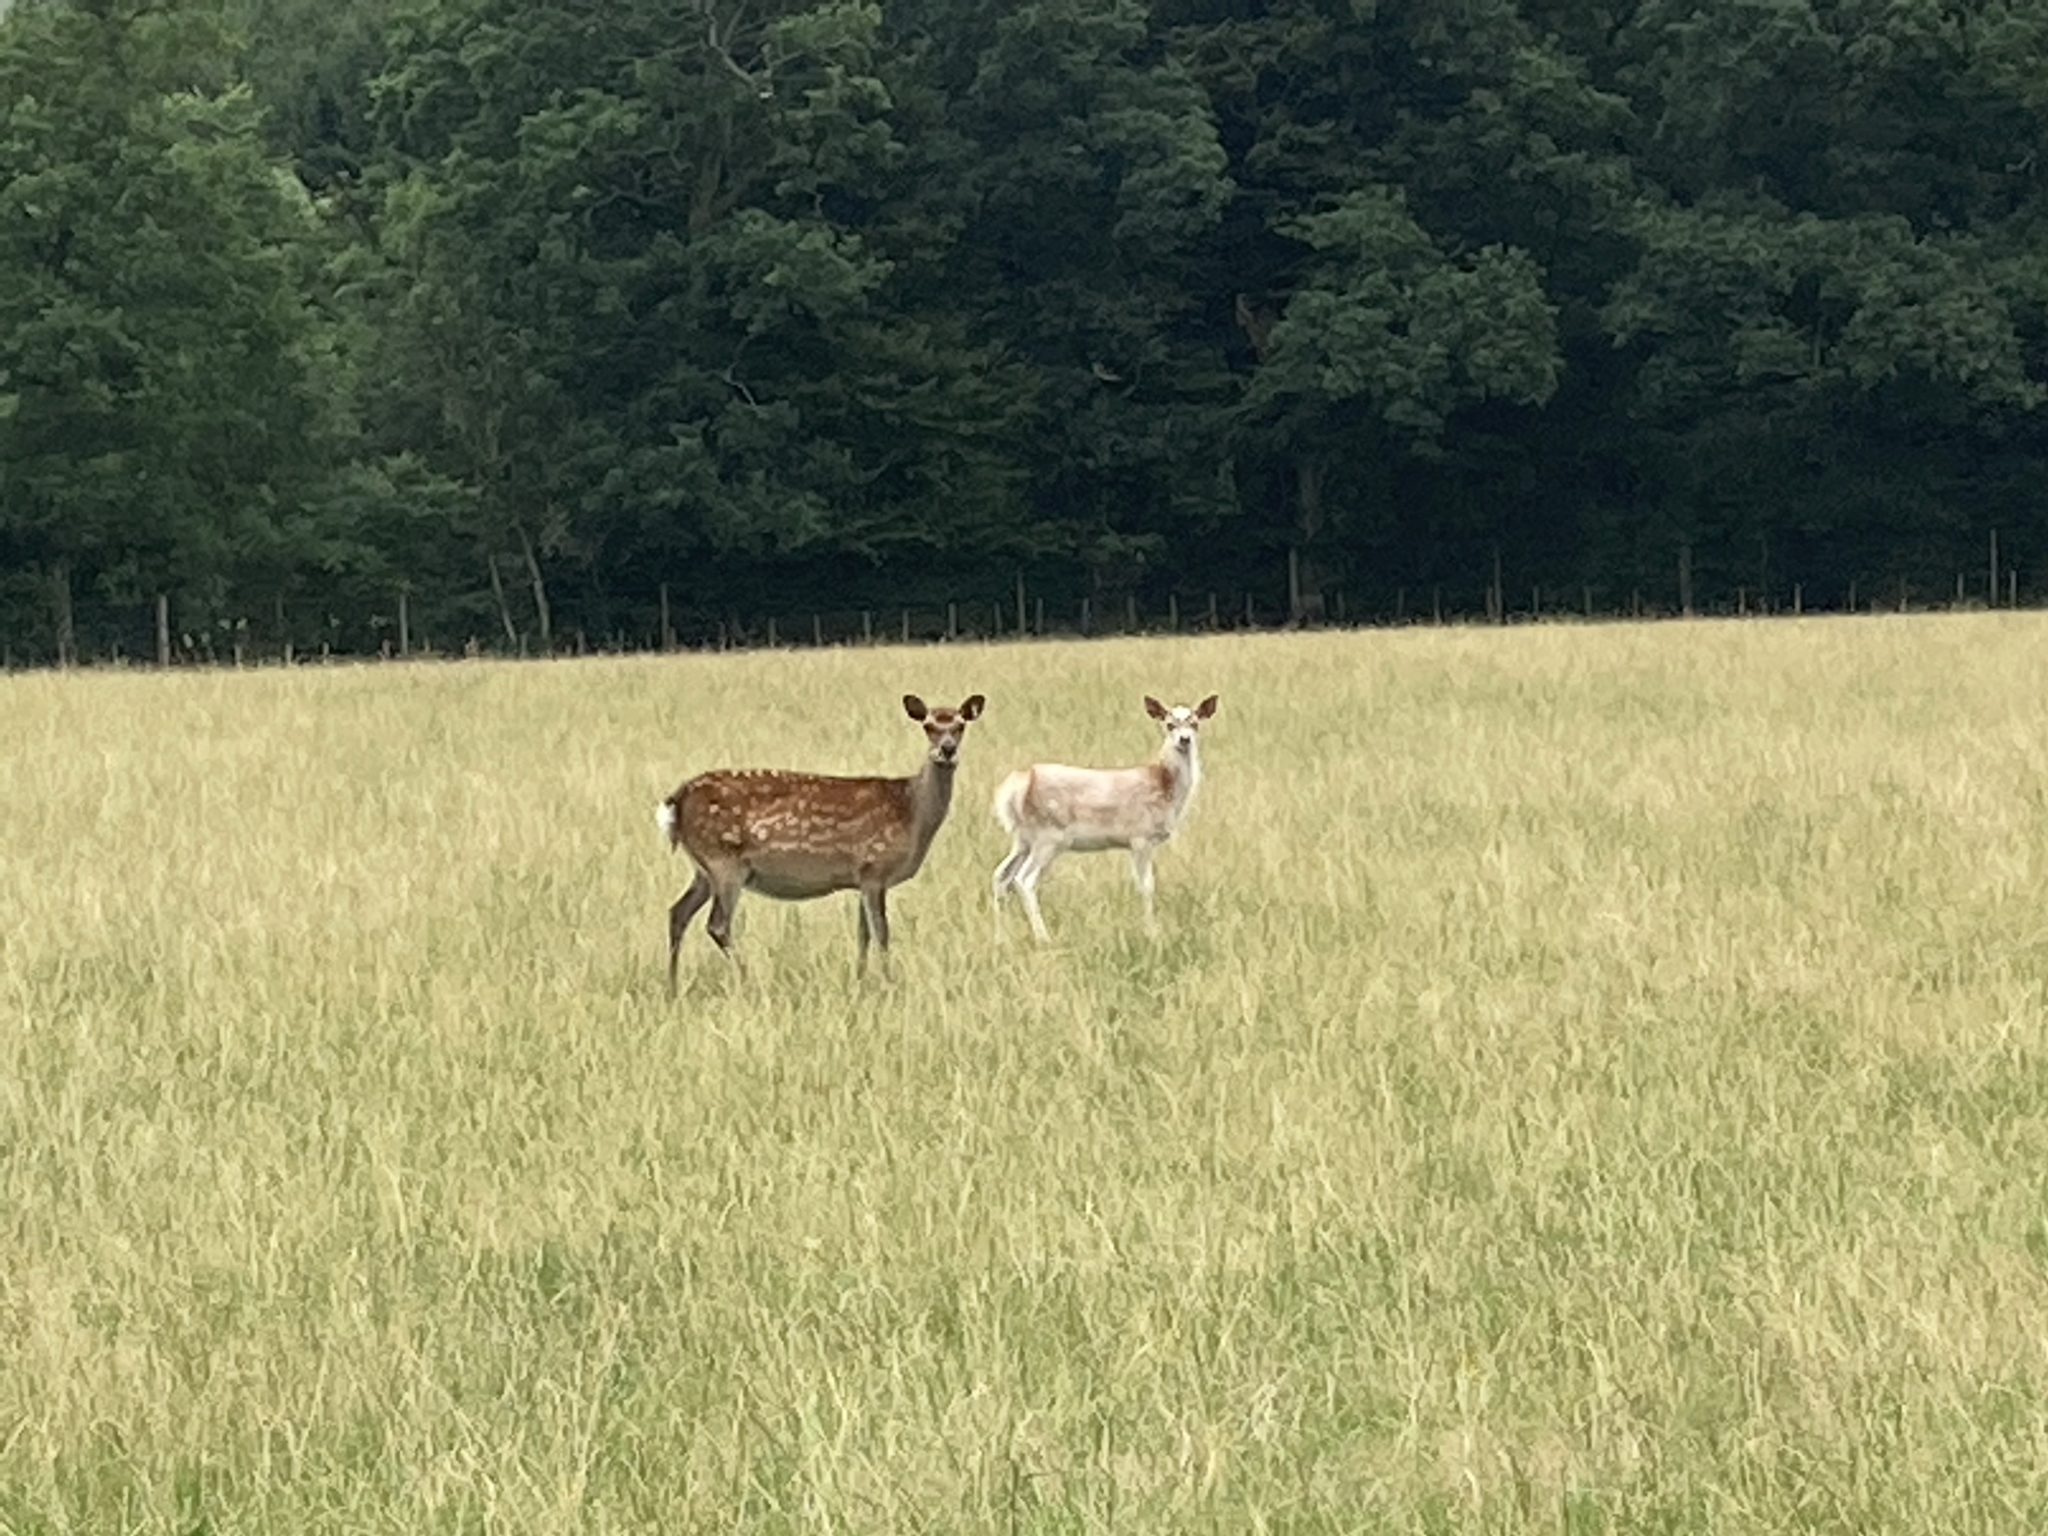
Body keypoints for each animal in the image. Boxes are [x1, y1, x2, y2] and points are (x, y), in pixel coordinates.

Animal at [655, 694, 985, 991]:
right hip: (725, 862)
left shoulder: (861, 878)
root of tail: (677, 800)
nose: (947, 750)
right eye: (928, 726)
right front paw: (890, 984)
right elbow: (881, 932)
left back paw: (672, 988)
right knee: (717, 924)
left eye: (960, 725)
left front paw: (860, 983)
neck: (913, 811)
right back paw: (750, 982)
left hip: (703, 868)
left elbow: (863, 933)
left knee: (677, 912)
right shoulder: (875, 867)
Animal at [990, 694, 1218, 943]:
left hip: (1023, 840)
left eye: (1195, 723)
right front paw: (1152, 932)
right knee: (1024, 880)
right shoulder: (1140, 837)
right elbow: (1147, 885)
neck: (1166, 788)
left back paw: (1001, 938)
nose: (1184, 740)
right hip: (1049, 837)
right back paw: (1044, 939)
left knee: (1001, 876)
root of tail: (1018, 787)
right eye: (1169, 724)